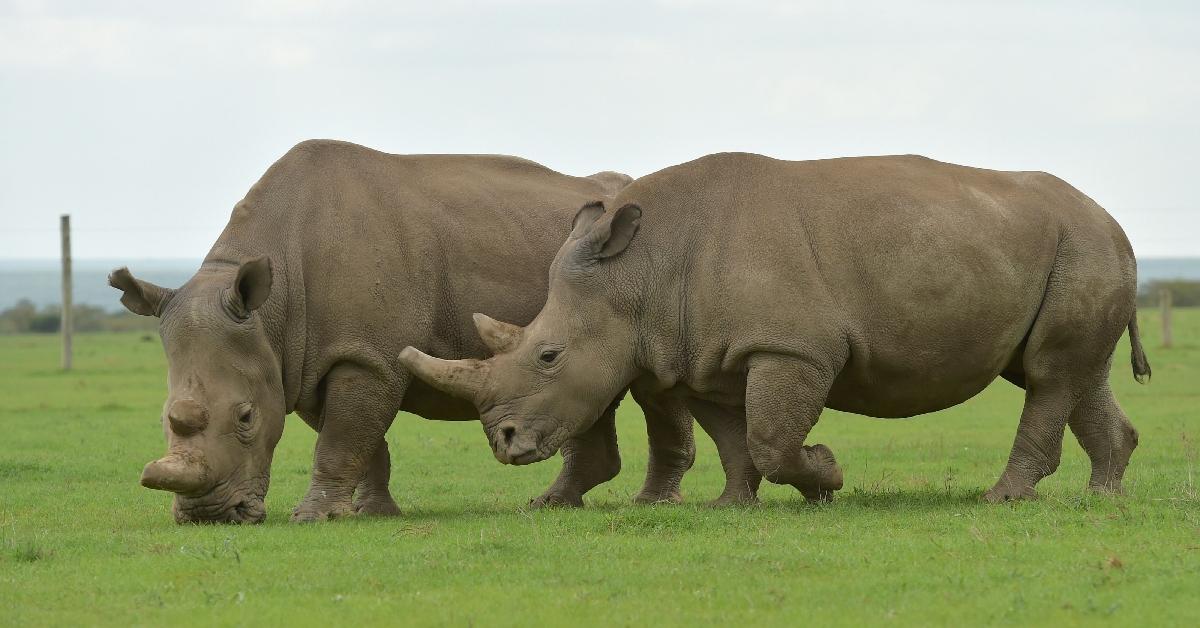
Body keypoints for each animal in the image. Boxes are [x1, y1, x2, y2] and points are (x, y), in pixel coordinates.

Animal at [110, 140, 697, 523]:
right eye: (164, 418)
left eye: (246, 417)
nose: (207, 515)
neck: (270, 308)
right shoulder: (306, 358)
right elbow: (359, 439)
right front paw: (371, 512)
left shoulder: (361, 356)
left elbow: (342, 438)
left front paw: (313, 517)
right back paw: (553, 505)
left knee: (655, 383)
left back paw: (649, 505)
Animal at [399, 152, 1150, 504]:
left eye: (549, 355)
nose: (505, 444)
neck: (640, 272)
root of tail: (1112, 219)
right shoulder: (700, 353)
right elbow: (736, 437)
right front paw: (730, 505)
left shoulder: (795, 348)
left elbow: (770, 437)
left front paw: (827, 475)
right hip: (1070, 246)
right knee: (1071, 373)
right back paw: (1103, 496)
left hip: (1081, 244)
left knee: (1050, 375)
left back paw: (1002, 498)